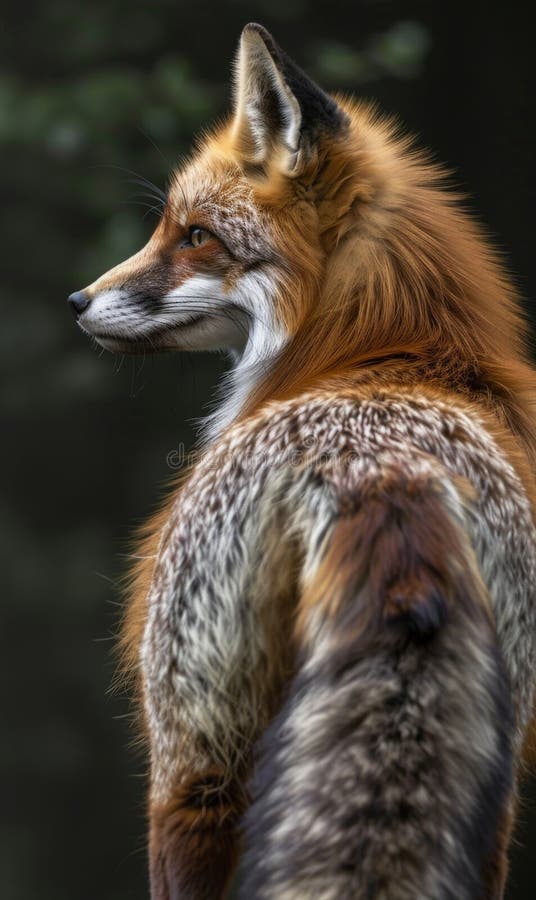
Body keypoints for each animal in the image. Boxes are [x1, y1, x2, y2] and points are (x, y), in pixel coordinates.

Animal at [69, 22, 536, 900]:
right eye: (171, 228)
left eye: (195, 236)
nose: (77, 303)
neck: (387, 355)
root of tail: (389, 475)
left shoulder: (180, 751)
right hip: (489, 789)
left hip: (197, 762)